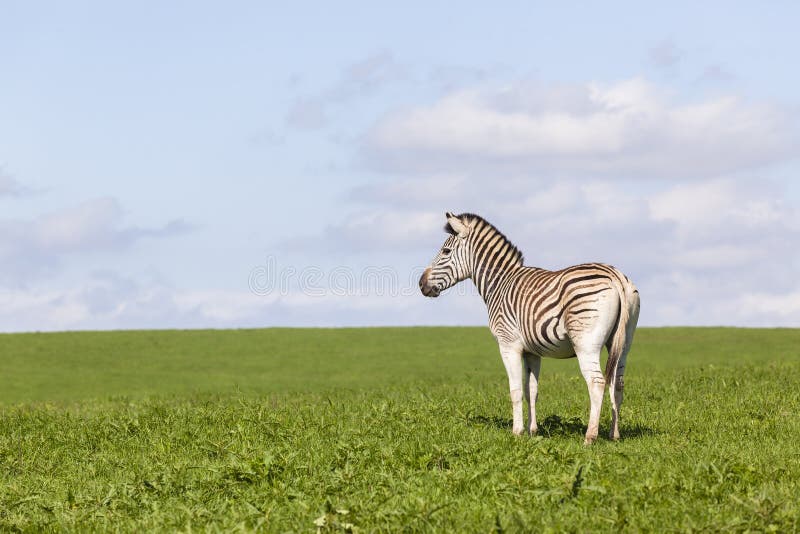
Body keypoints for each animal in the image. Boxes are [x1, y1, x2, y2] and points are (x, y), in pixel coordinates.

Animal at [419, 212, 640, 444]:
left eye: (445, 251)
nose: (421, 284)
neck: (499, 283)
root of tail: (615, 275)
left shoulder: (508, 345)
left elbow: (515, 390)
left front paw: (517, 432)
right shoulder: (532, 352)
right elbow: (531, 390)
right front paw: (533, 431)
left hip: (586, 343)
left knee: (597, 383)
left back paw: (590, 437)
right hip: (623, 342)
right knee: (618, 383)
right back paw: (614, 434)